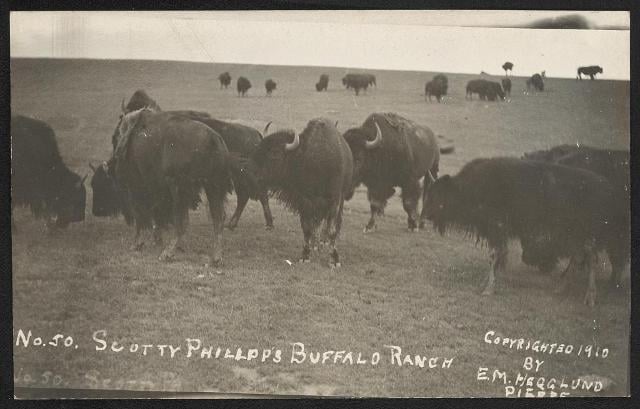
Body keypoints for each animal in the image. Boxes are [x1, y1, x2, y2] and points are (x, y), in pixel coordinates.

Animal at [242, 119, 353, 267]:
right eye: (259, 147)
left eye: (275, 153)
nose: (247, 171)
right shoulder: (305, 202)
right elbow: (307, 229)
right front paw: (305, 256)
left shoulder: (334, 201)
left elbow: (332, 230)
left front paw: (335, 260)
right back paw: (315, 244)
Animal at [424, 157, 618, 306]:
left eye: (437, 194)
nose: (425, 214)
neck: (470, 188)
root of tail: (606, 187)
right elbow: (498, 256)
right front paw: (487, 282)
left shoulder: (497, 229)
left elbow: (494, 255)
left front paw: (488, 289)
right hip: (574, 236)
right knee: (578, 258)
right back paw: (561, 287)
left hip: (585, 236)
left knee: (590, 260)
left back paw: (590, 297)